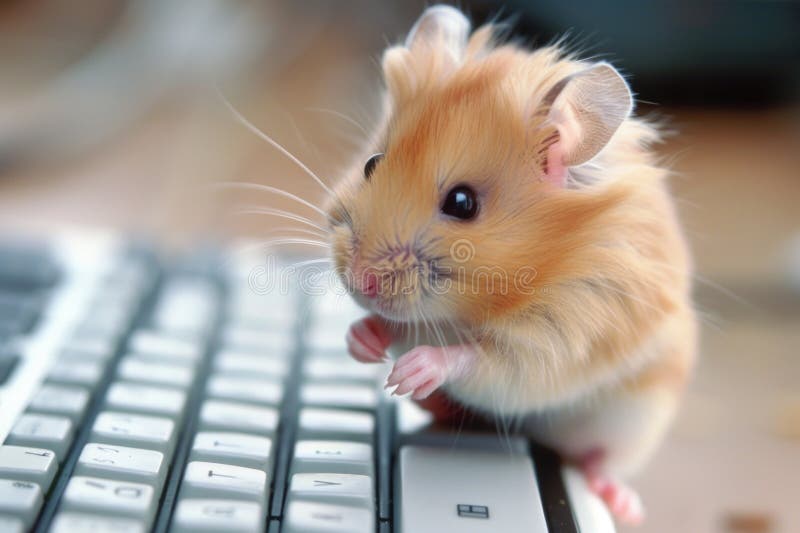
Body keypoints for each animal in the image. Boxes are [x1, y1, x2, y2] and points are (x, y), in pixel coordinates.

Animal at [326, 5, 697, 525]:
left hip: (633, 422)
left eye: (462, 203)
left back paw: (622, 502)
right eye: (370, 164)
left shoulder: (557, 340)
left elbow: (476, 357)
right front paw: (362, 342)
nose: (361, 282)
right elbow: (394, 329)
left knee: (597, 459)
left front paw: (410, 372)